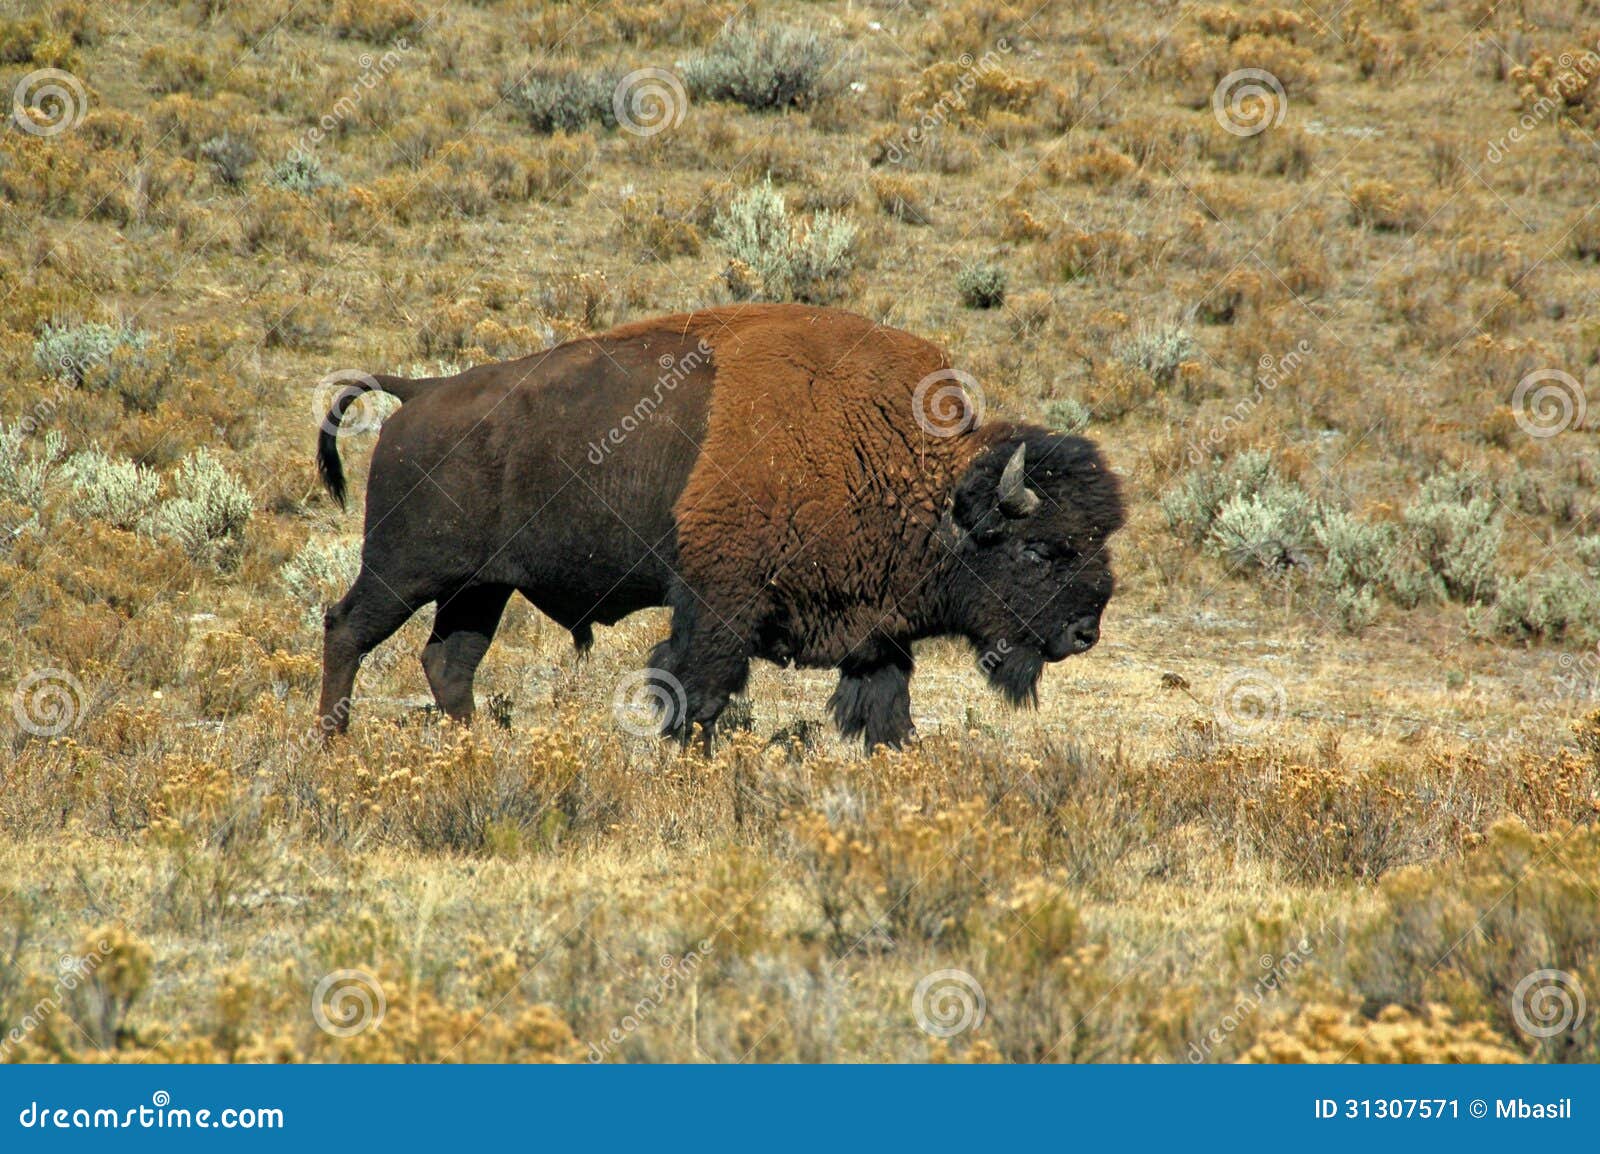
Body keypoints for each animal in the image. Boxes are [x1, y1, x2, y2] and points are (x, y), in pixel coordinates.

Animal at [315, 304, 1124, 749]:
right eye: (1040, 549)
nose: (1085, 631)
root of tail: (420, 392)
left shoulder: (874, 630)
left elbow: (885, 713)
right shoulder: (719, 605)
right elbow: (696, 694)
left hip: (480, 588)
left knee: (449, 662)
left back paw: (470, 749)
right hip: (405, 569)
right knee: (347, 627)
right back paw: (332, 743)